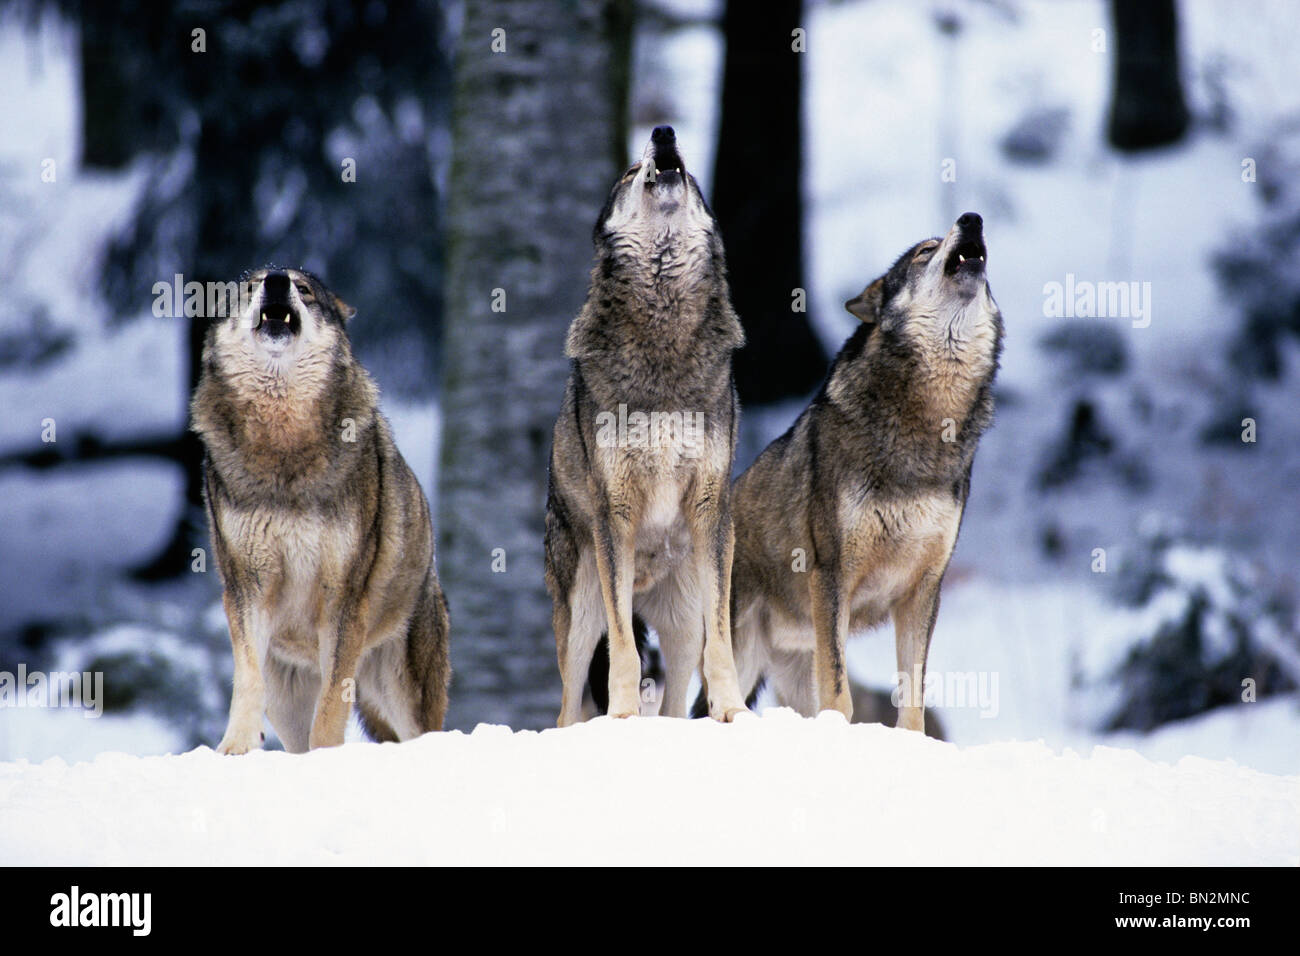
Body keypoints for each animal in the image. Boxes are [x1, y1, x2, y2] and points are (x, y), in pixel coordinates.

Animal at [192, 267, 450, 753]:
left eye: (304, 289)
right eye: (252, 285)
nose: (276, 280)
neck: (283, 444)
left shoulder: (343, 595)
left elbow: (332, 703)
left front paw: (327, 754)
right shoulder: (245, 588)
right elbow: (246, 678)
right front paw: (236, 747)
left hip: (401, 693)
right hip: (286, 699)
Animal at [545, 126, 750, 725]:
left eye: (692, 174)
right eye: (631, 172)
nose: (663, 133)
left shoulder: (711, 509)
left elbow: (723, 646)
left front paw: (734, 712)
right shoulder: (615, 513)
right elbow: (625, 652)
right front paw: (623, 718)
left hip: (683, 618)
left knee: (678, 698)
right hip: (583, 608)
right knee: (567, 708)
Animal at [715, 213, 1003, 733]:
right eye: (925, 250)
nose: (972, 219)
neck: (927, 422)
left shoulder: (924, 589)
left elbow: (913, 698)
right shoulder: (832, 574)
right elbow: (841, 692)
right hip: (739, 651)